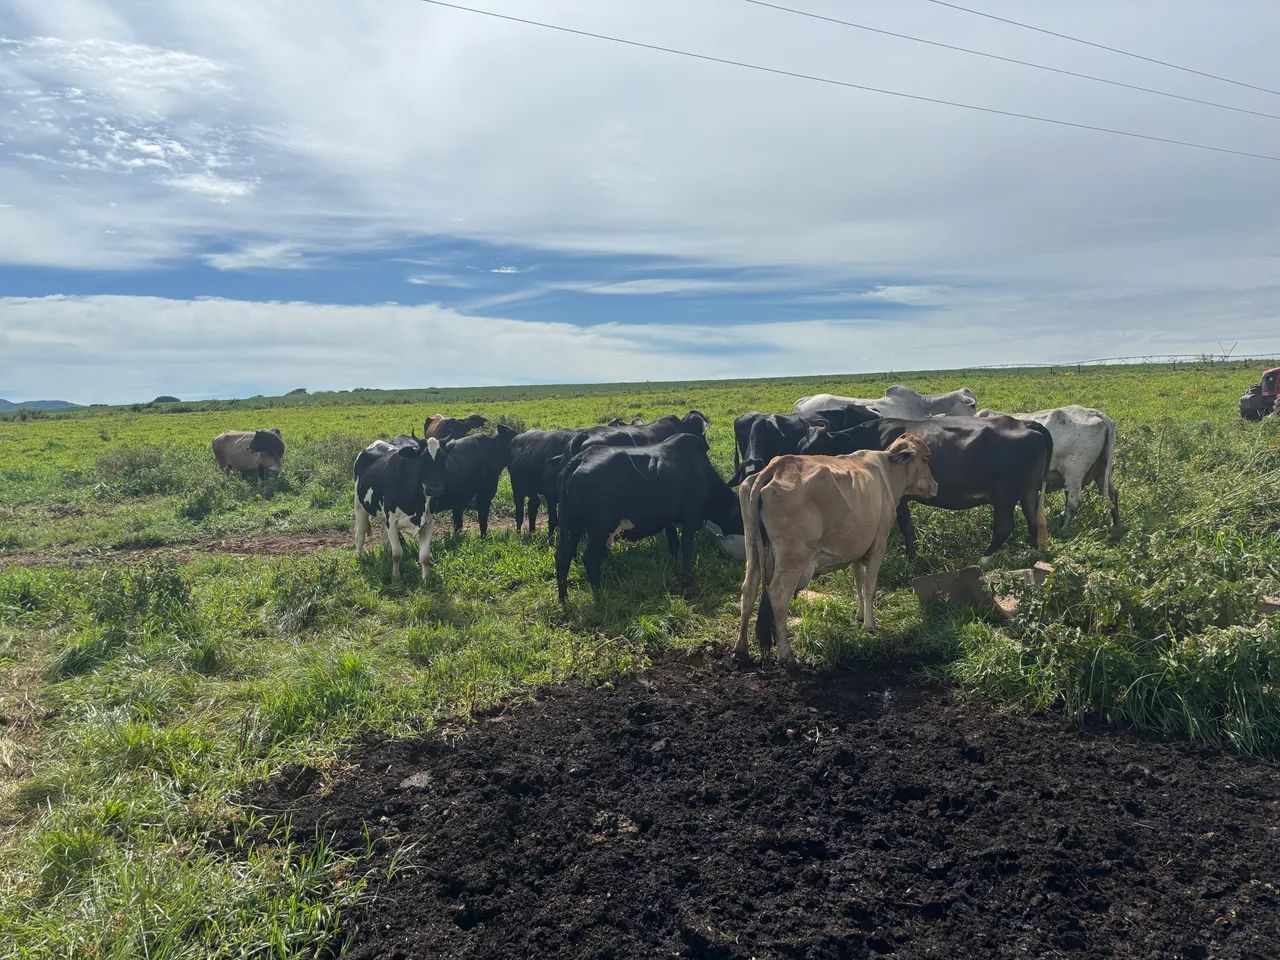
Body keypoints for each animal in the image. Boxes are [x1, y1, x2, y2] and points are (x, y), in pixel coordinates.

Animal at [353, 436, 451, 581]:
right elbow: (397, 553)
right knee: (360, 532)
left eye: (444, 459)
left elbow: (425, 555)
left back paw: (385, 555)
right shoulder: (392, 521)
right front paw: (396, 577)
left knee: (384, 537)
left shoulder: (428, 522)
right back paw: (359, 557)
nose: (436, 489)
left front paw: (426, 579)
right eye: (422, 459)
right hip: (360, 506)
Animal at [554, 433, 740, 602]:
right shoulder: (691, 518)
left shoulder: (669, 521)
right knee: (590, 558)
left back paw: (564, 599)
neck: (702, 472)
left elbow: (674, 544)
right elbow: (687, 549)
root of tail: (580, 459)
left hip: (570, 525)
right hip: (600, 529)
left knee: (562, 556)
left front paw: (673, 566)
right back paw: (600, 595)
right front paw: (687, 578)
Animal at [735, 434, 937, 666]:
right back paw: (787, 655)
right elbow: (869, 585)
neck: (887, 473)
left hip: (752, 546)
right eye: (926, 457)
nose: (935, 486)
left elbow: (858, 582)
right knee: (778, 595)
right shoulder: (879, 543)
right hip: (792, 557)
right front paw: (870, 625)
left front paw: (860, 616)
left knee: (748, 589)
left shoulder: (858, 548)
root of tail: (775, 466)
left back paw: (741, 649)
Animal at [801, 416, 1052, 558]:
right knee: (1033, 521)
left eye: (816, 447)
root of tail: (1026, 423)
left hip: (1005, 495)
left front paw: (911, 558)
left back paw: (984, 558)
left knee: (1004, 527)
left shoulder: (898, 497)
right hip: (1029, 490)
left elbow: (906, 527)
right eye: (801, 445)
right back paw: (1031, 554)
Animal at [978, 405, 1118, 530]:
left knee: (1074, 502)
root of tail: (1095, 413)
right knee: (1112, 494)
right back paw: (1115, 525)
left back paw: (1063, 530)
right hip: (1102, 470)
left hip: (1074, 474)